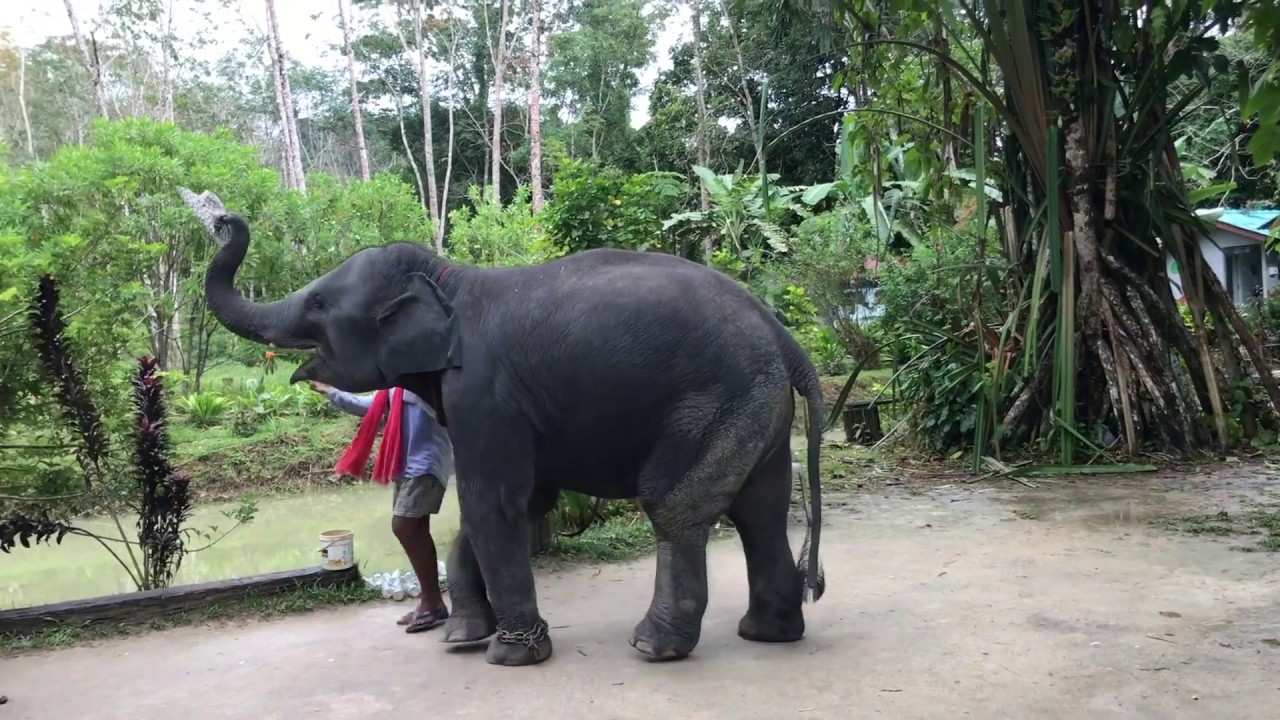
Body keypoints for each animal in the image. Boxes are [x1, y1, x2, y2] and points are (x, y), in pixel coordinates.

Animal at [191, 196, 827, 668]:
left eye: (319, 303)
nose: (221, 220)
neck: (445, 277)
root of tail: (784, 335)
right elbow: (519, 504)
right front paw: (463, 638)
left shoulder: (483, 394)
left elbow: (491, 501)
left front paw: (509, 655)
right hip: (756, 409)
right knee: (759, 510)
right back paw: (767, 634)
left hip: (717, 400)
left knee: (675, 506)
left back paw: (652, 646)